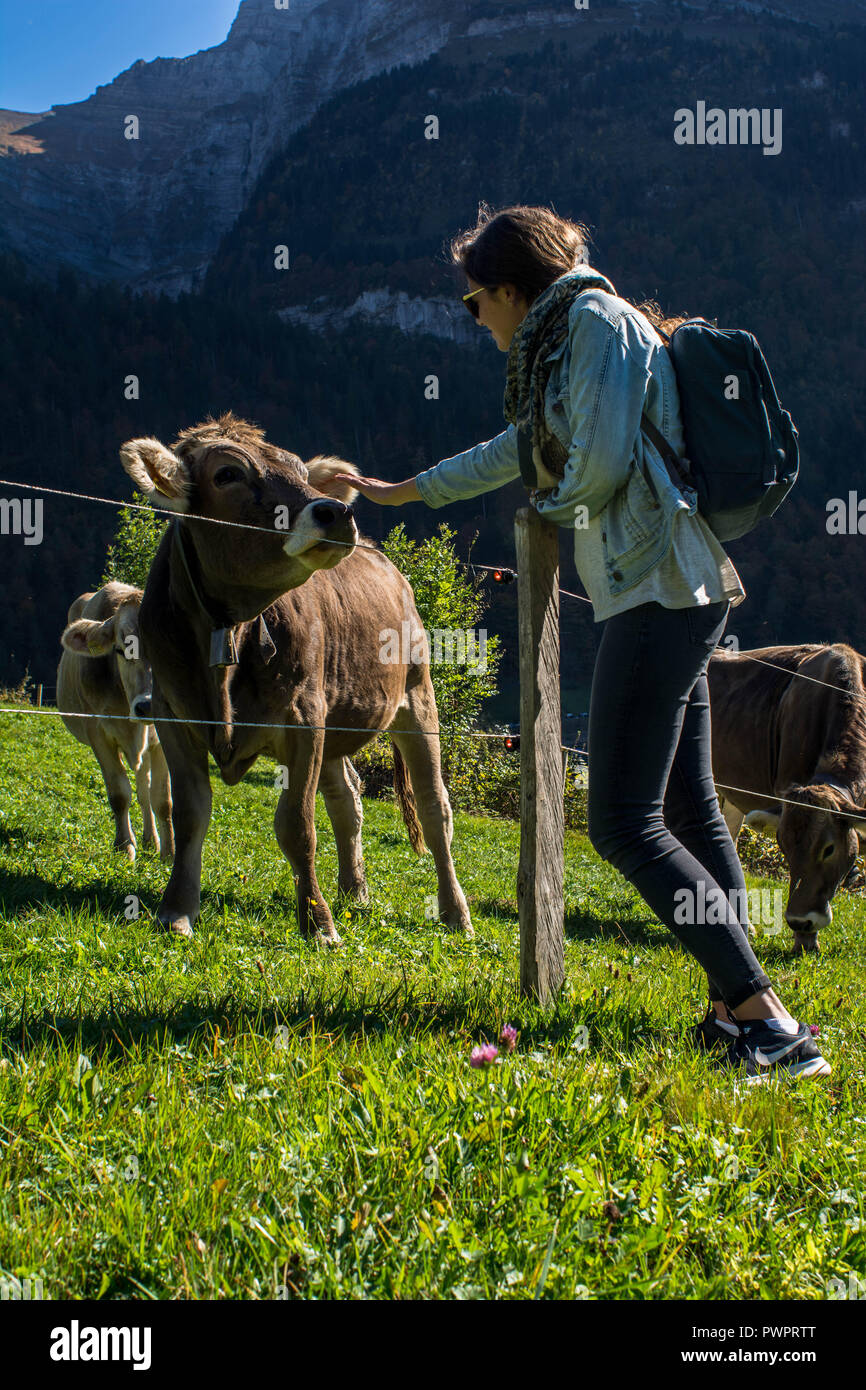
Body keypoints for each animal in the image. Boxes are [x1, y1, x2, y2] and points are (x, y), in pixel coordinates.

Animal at [58, 583, 174, 861]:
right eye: (121, 650)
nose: (147, 706)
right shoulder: (97, 733)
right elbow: (119, 793)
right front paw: (124, 847)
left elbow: (162, 799)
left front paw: (169, 854)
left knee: (144, 790)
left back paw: (152, 840)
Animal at [118, 412, 472, 945]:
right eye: (227, 474)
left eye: (302, 473)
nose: (336, 513)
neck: (230, 628)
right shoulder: (172, 716)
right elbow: (191, 814)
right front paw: (176, 910)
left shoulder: (304, 720)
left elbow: (297, 825)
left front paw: (318, 922)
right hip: (340, 714)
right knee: (347, 800)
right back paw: (355, 891)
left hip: (416, 698)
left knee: (435, 810)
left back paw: (454, 912)